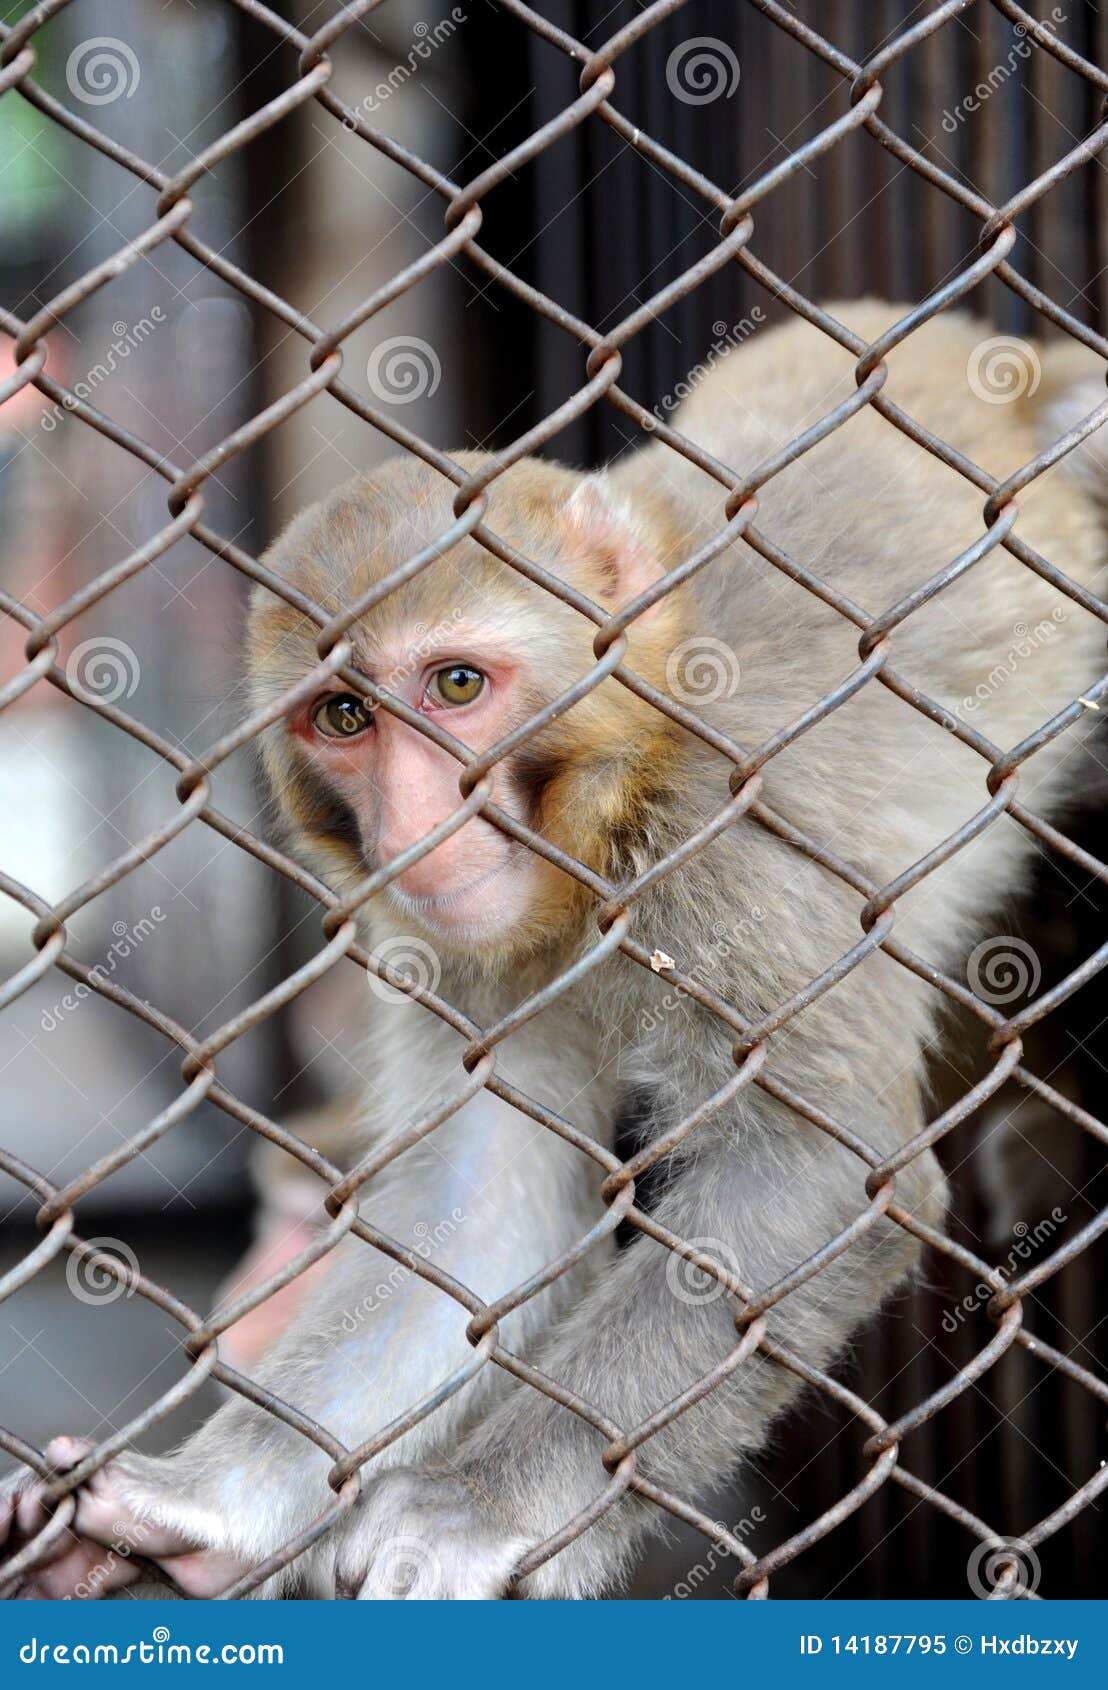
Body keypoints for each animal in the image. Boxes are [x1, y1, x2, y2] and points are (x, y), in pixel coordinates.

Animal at [3, 300, 1106, 1600]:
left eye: (457, 685)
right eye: (344, 717)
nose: (415, 826)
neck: (607, 803)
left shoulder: (725, 833)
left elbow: (818, 1167)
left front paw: (474, 1507)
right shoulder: (458, 943)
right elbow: (482, 1208)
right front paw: (204, 1503)